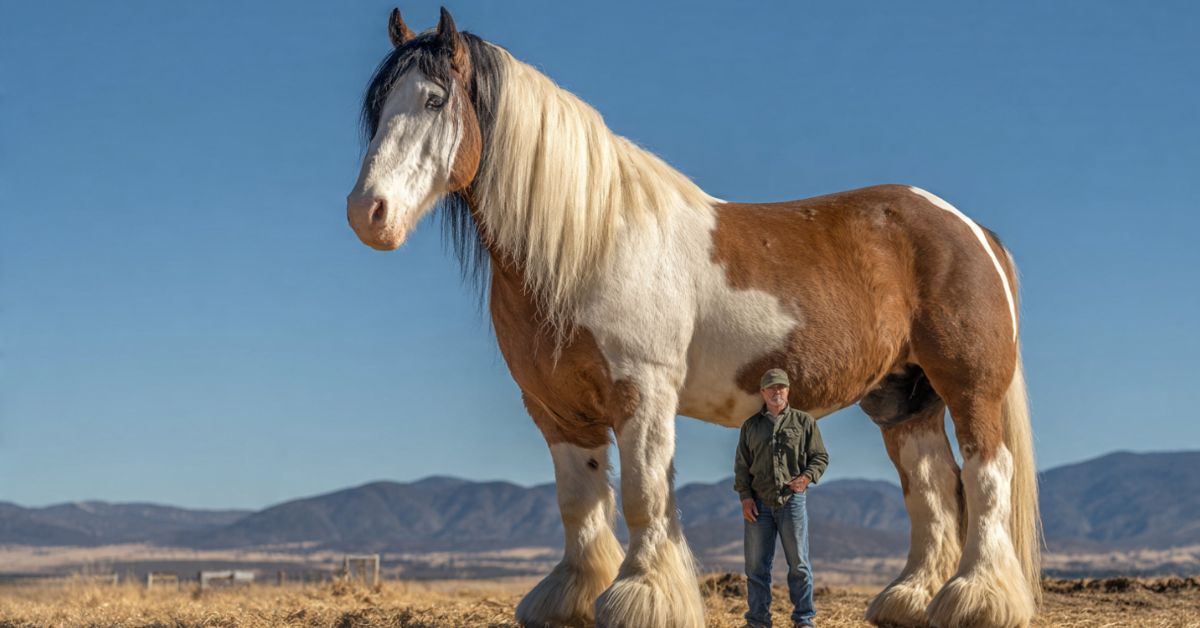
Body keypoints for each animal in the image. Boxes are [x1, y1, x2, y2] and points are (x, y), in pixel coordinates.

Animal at [345, 8, 1041, 628]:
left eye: (435, 99)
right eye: (376, 109)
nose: (367, 213)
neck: (592, 238)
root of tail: (970, 229)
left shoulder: (643, 392)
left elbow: (643, 492)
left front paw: (642, 599)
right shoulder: (557, 409)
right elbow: (579, 500)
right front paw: (571, 597)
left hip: (969, 387)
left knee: (986, 476)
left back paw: (977, 601)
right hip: (903, 399)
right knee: (932, 489)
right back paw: (912, 600)